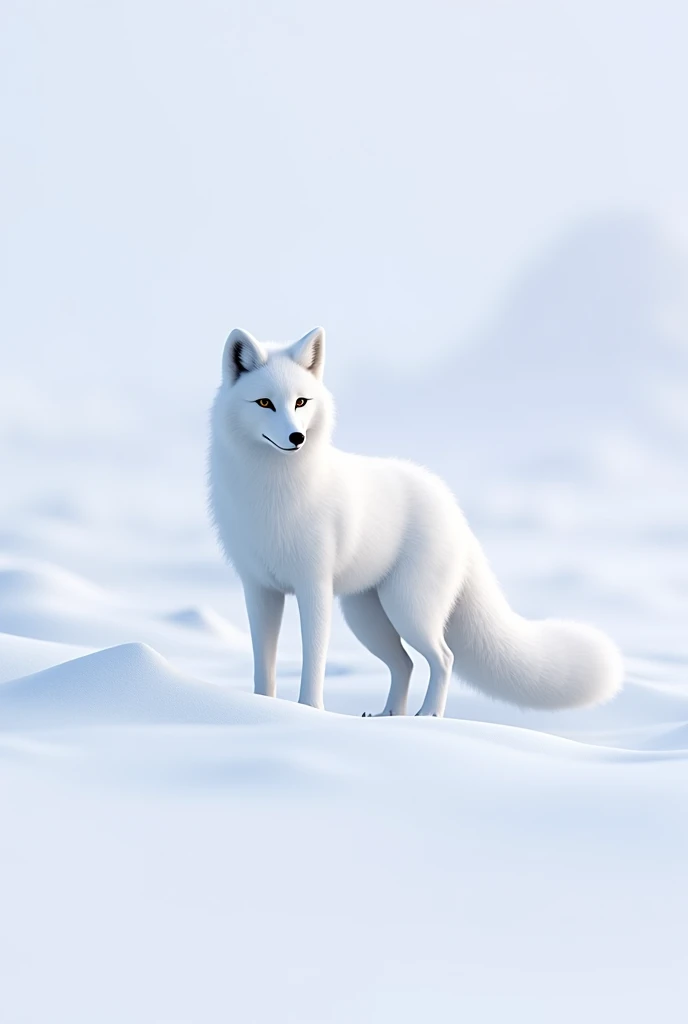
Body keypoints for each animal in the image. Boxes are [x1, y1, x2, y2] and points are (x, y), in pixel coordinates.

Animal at [209, 327, 623, 717]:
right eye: (264, 402)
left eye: (300, 401)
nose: (297, 437)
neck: (272, 494)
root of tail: (451, 506)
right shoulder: (259, 588)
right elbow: (264, 665)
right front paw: (264, 707)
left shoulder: (314, 586)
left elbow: (314, 661)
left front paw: (310, 711)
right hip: (367, 617)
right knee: (404, 664)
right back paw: (390, 715)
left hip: (408, 609)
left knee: (443, 657)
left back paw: (430, 714)